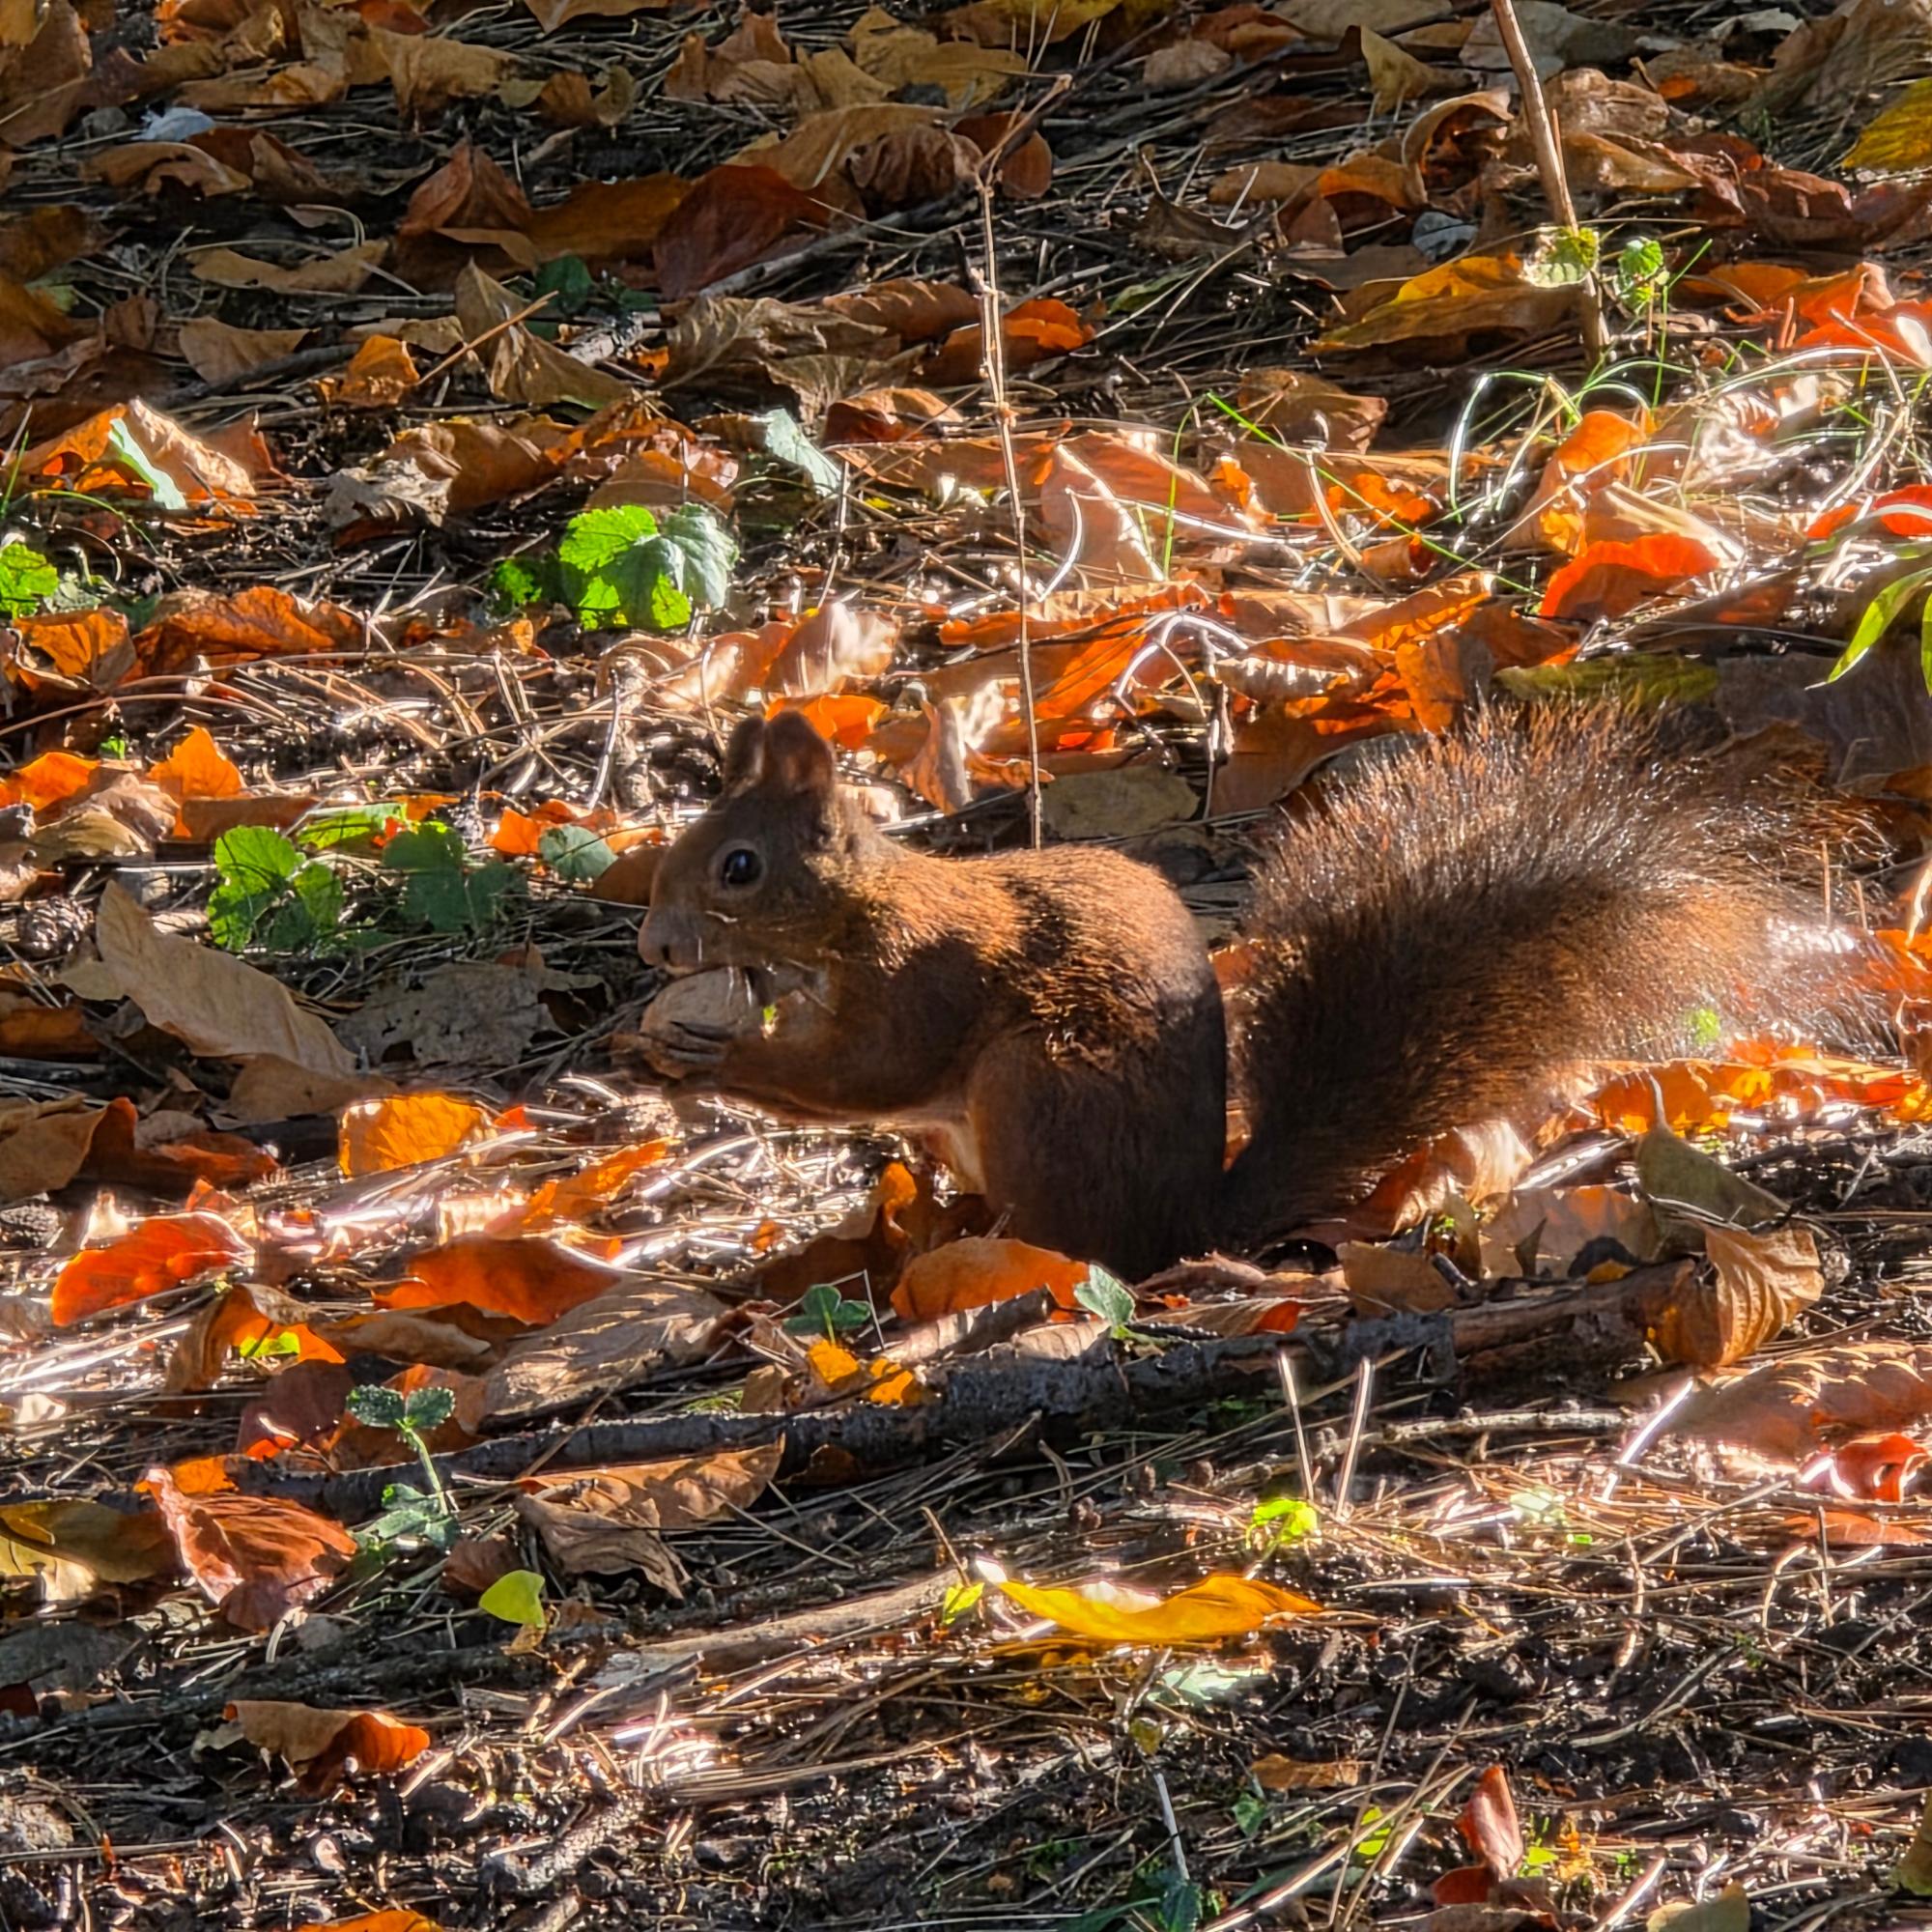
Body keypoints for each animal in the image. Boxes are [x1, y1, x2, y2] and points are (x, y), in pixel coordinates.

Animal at [635, 704, 1864, 1280]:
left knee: (1074, 1250)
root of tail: (1185, 1224)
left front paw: (711, 1061)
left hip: (1036, 1090)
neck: (851, 916)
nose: (652, 945)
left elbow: (865, 1071)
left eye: (736, 866)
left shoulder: (920, 973)